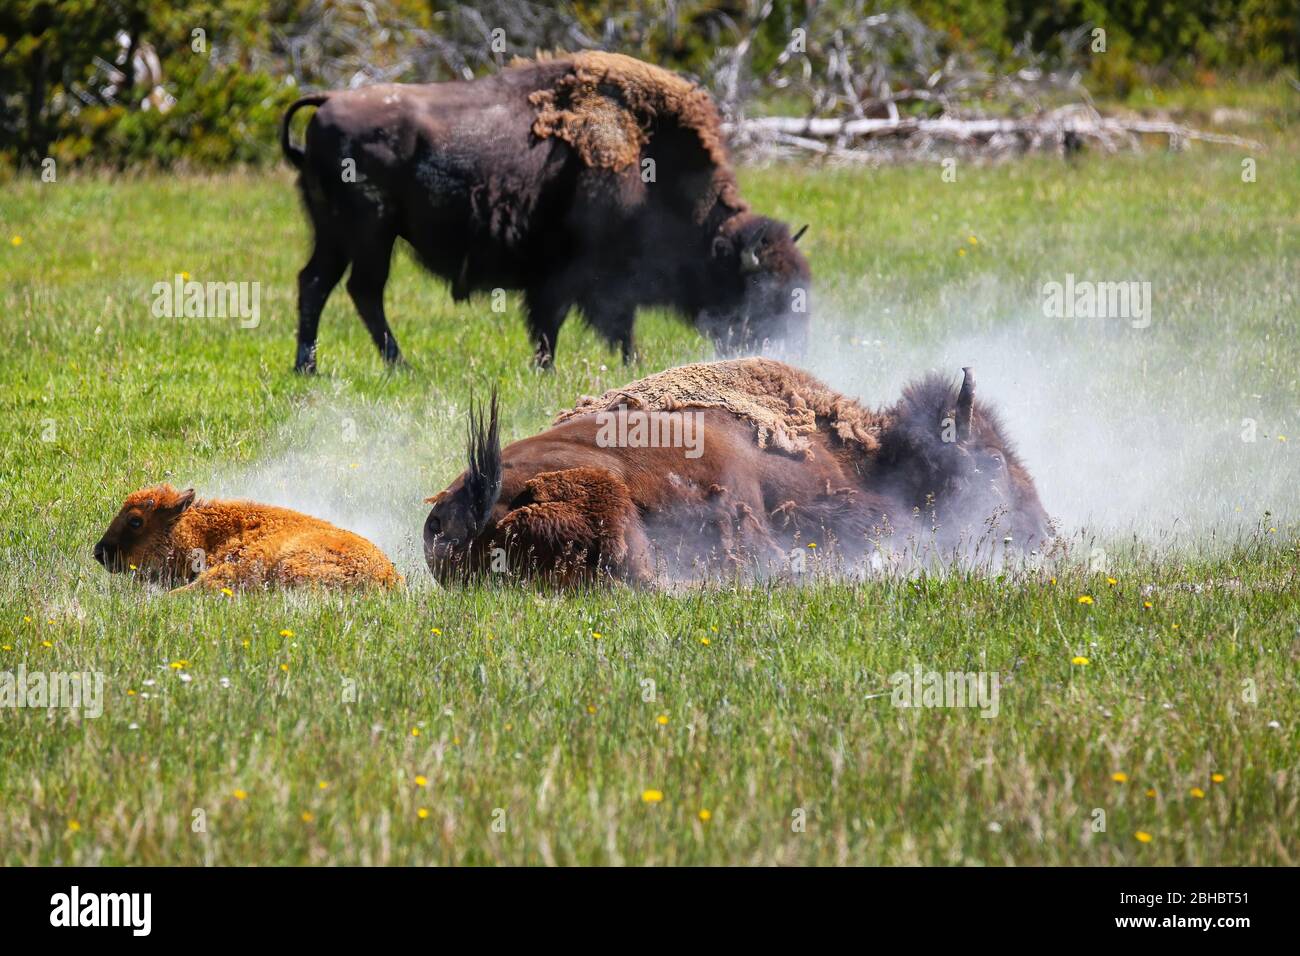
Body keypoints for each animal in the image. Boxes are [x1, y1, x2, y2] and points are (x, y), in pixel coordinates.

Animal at [280, 51, 810, 373]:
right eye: (760, 293)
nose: (791, 352)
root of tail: (328, 102)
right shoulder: (576, 277)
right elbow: (573, 323)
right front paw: (567, 368)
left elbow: (584, 324)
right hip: (371, 234)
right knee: (362, 290)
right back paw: (398, 365)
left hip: (335, 234)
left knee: (317, 283)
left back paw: (310, 367)